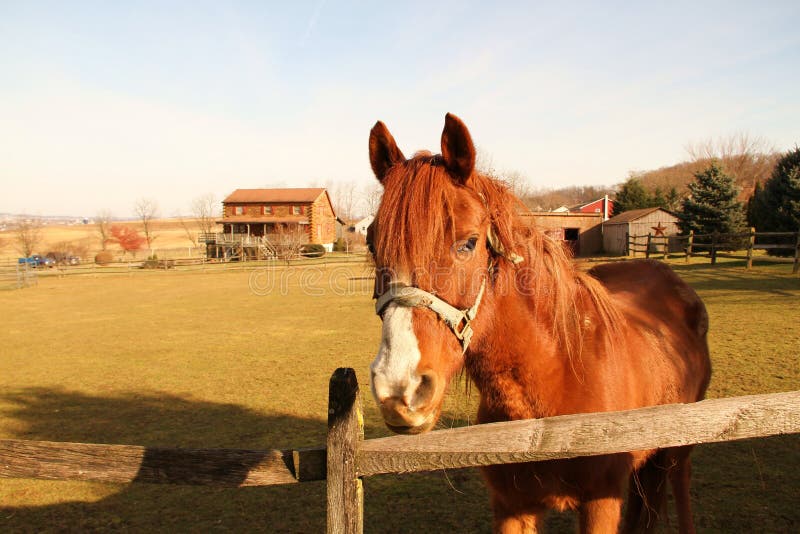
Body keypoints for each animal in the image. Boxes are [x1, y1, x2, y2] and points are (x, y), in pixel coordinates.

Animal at [366, 113, 712, 533]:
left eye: (468, 242)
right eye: (371, 243)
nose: (399, 389)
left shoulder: (600, 504)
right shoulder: (511, 506)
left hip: (678, 451)